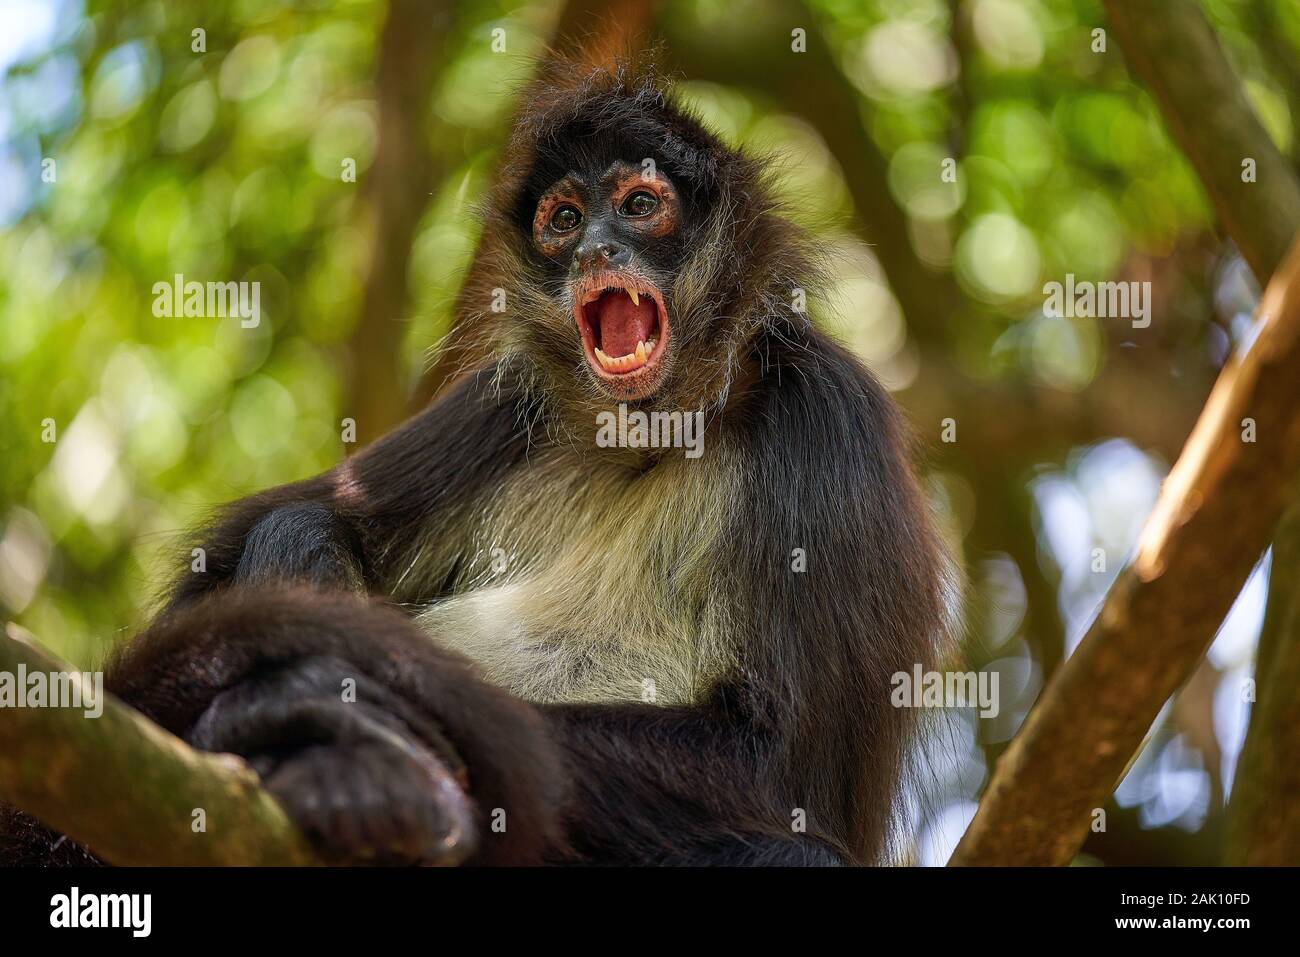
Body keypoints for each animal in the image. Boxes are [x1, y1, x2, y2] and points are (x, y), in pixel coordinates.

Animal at [0, 56, 951, 867]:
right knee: (296, 528)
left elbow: (787, 778)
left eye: (640, 204)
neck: (656, 434)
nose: (596, 249)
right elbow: (256, 545)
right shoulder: (505, 403)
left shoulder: (826, 412)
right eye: (562, 221)